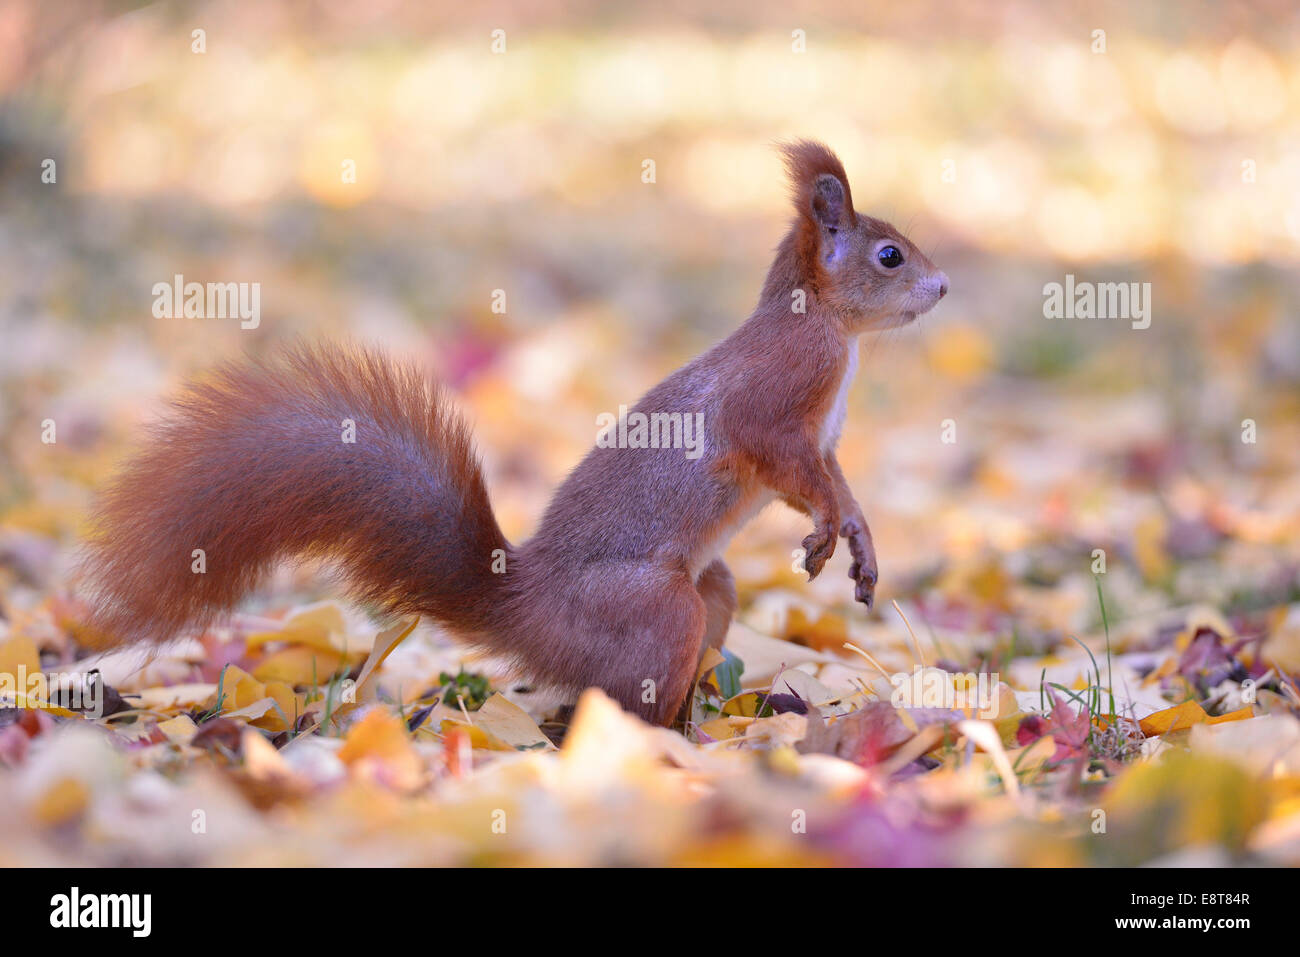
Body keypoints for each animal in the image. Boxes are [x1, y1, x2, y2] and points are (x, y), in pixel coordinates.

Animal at [79, 141, 948, 727]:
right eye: (889, 254)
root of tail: (529, 615)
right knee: (619, 700)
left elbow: (833, 479)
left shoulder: (822, 441)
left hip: (711, 589)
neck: (831, 329)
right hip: (654, 605)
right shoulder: (776, 404)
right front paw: (830, 530)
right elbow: (788, 466)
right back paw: (676, 746)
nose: (942, 286)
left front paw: (858, 534)